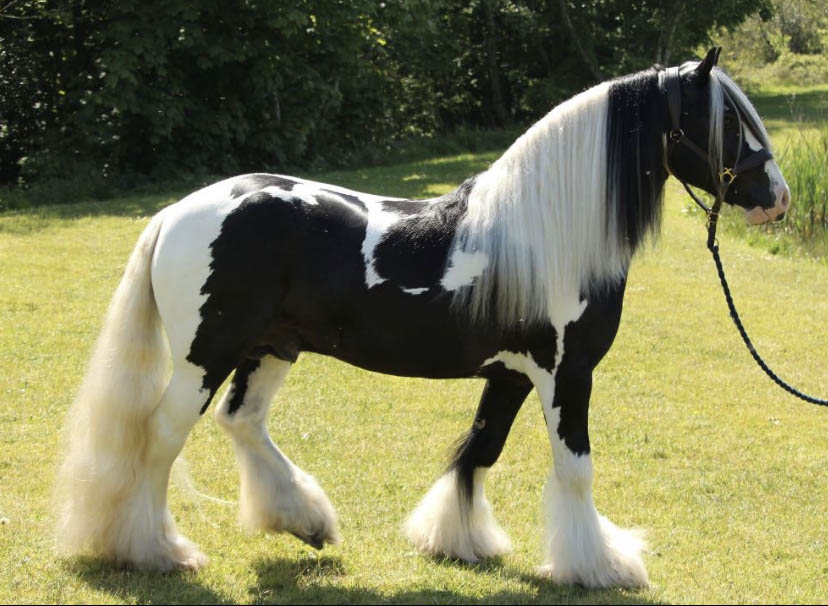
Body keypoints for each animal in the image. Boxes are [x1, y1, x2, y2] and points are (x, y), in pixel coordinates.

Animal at [55, 48, 790, 588]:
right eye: (725, 123)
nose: (778, 199)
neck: (546, 234)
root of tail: (177, 212)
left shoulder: (512, 374)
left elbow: (480, 450)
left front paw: (459, 540)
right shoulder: (565, 373)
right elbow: (574, 469)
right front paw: (600, 566)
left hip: (271, 348)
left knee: (242, 422)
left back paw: (306, 521)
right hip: (205, 356)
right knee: (159, 438)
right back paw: (159, 551)